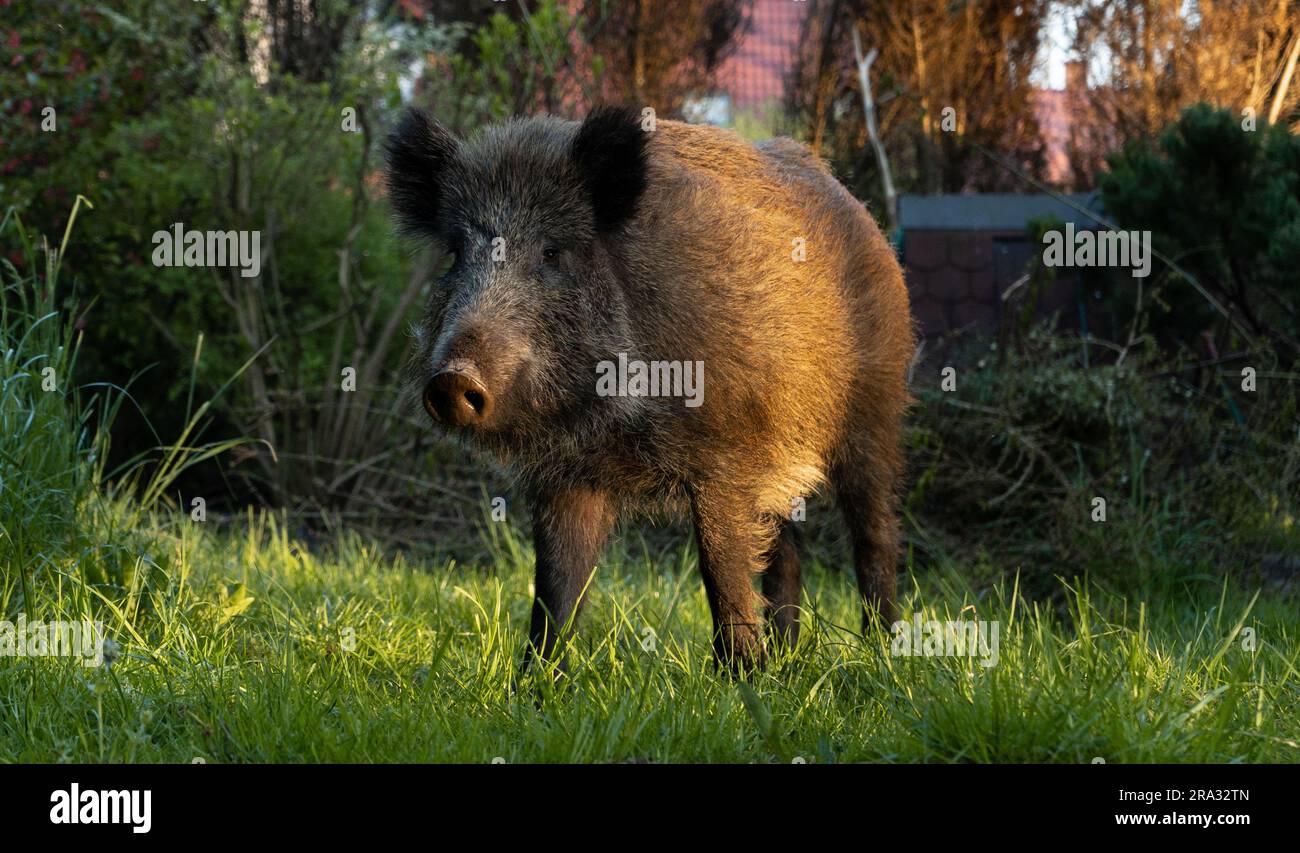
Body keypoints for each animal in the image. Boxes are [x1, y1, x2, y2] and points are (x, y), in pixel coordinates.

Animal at [386, 106, 915, 674]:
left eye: (552, 252)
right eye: (456, 253)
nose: (453, 379)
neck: (614, 414)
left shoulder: (725, 453)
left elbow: (720, 568)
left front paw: (740, 679)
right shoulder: (565, 474)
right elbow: (556, 585)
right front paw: (535, 682)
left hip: (874, 413)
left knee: (875, 533)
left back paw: (881, 652)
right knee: (786, 549)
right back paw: (789, 657)